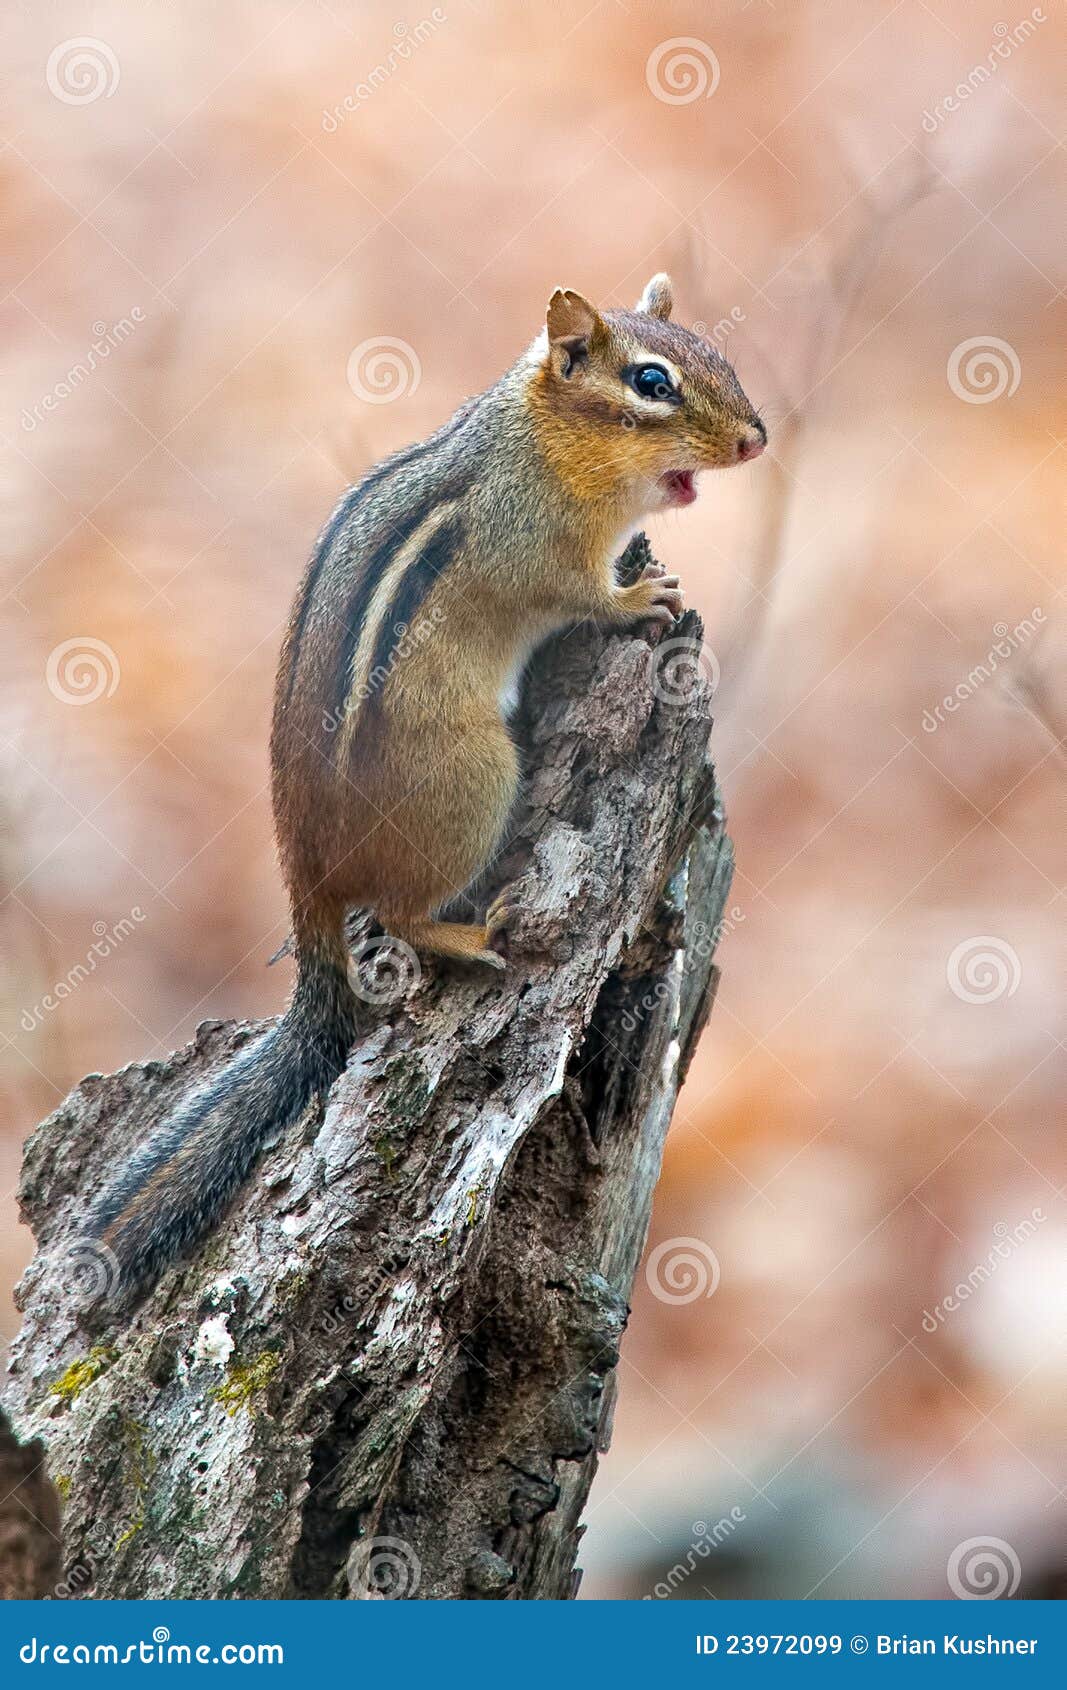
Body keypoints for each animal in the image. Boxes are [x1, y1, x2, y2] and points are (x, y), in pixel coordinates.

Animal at [86, 273, 765, 1302]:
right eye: (651, 382)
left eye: (715, 354)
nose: (756, 439)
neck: (538, 441)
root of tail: (307, 876)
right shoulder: (541, 548)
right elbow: (583, 595)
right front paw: (641, 598)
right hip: (476, 780)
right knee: (403, 917)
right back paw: (476, 935)